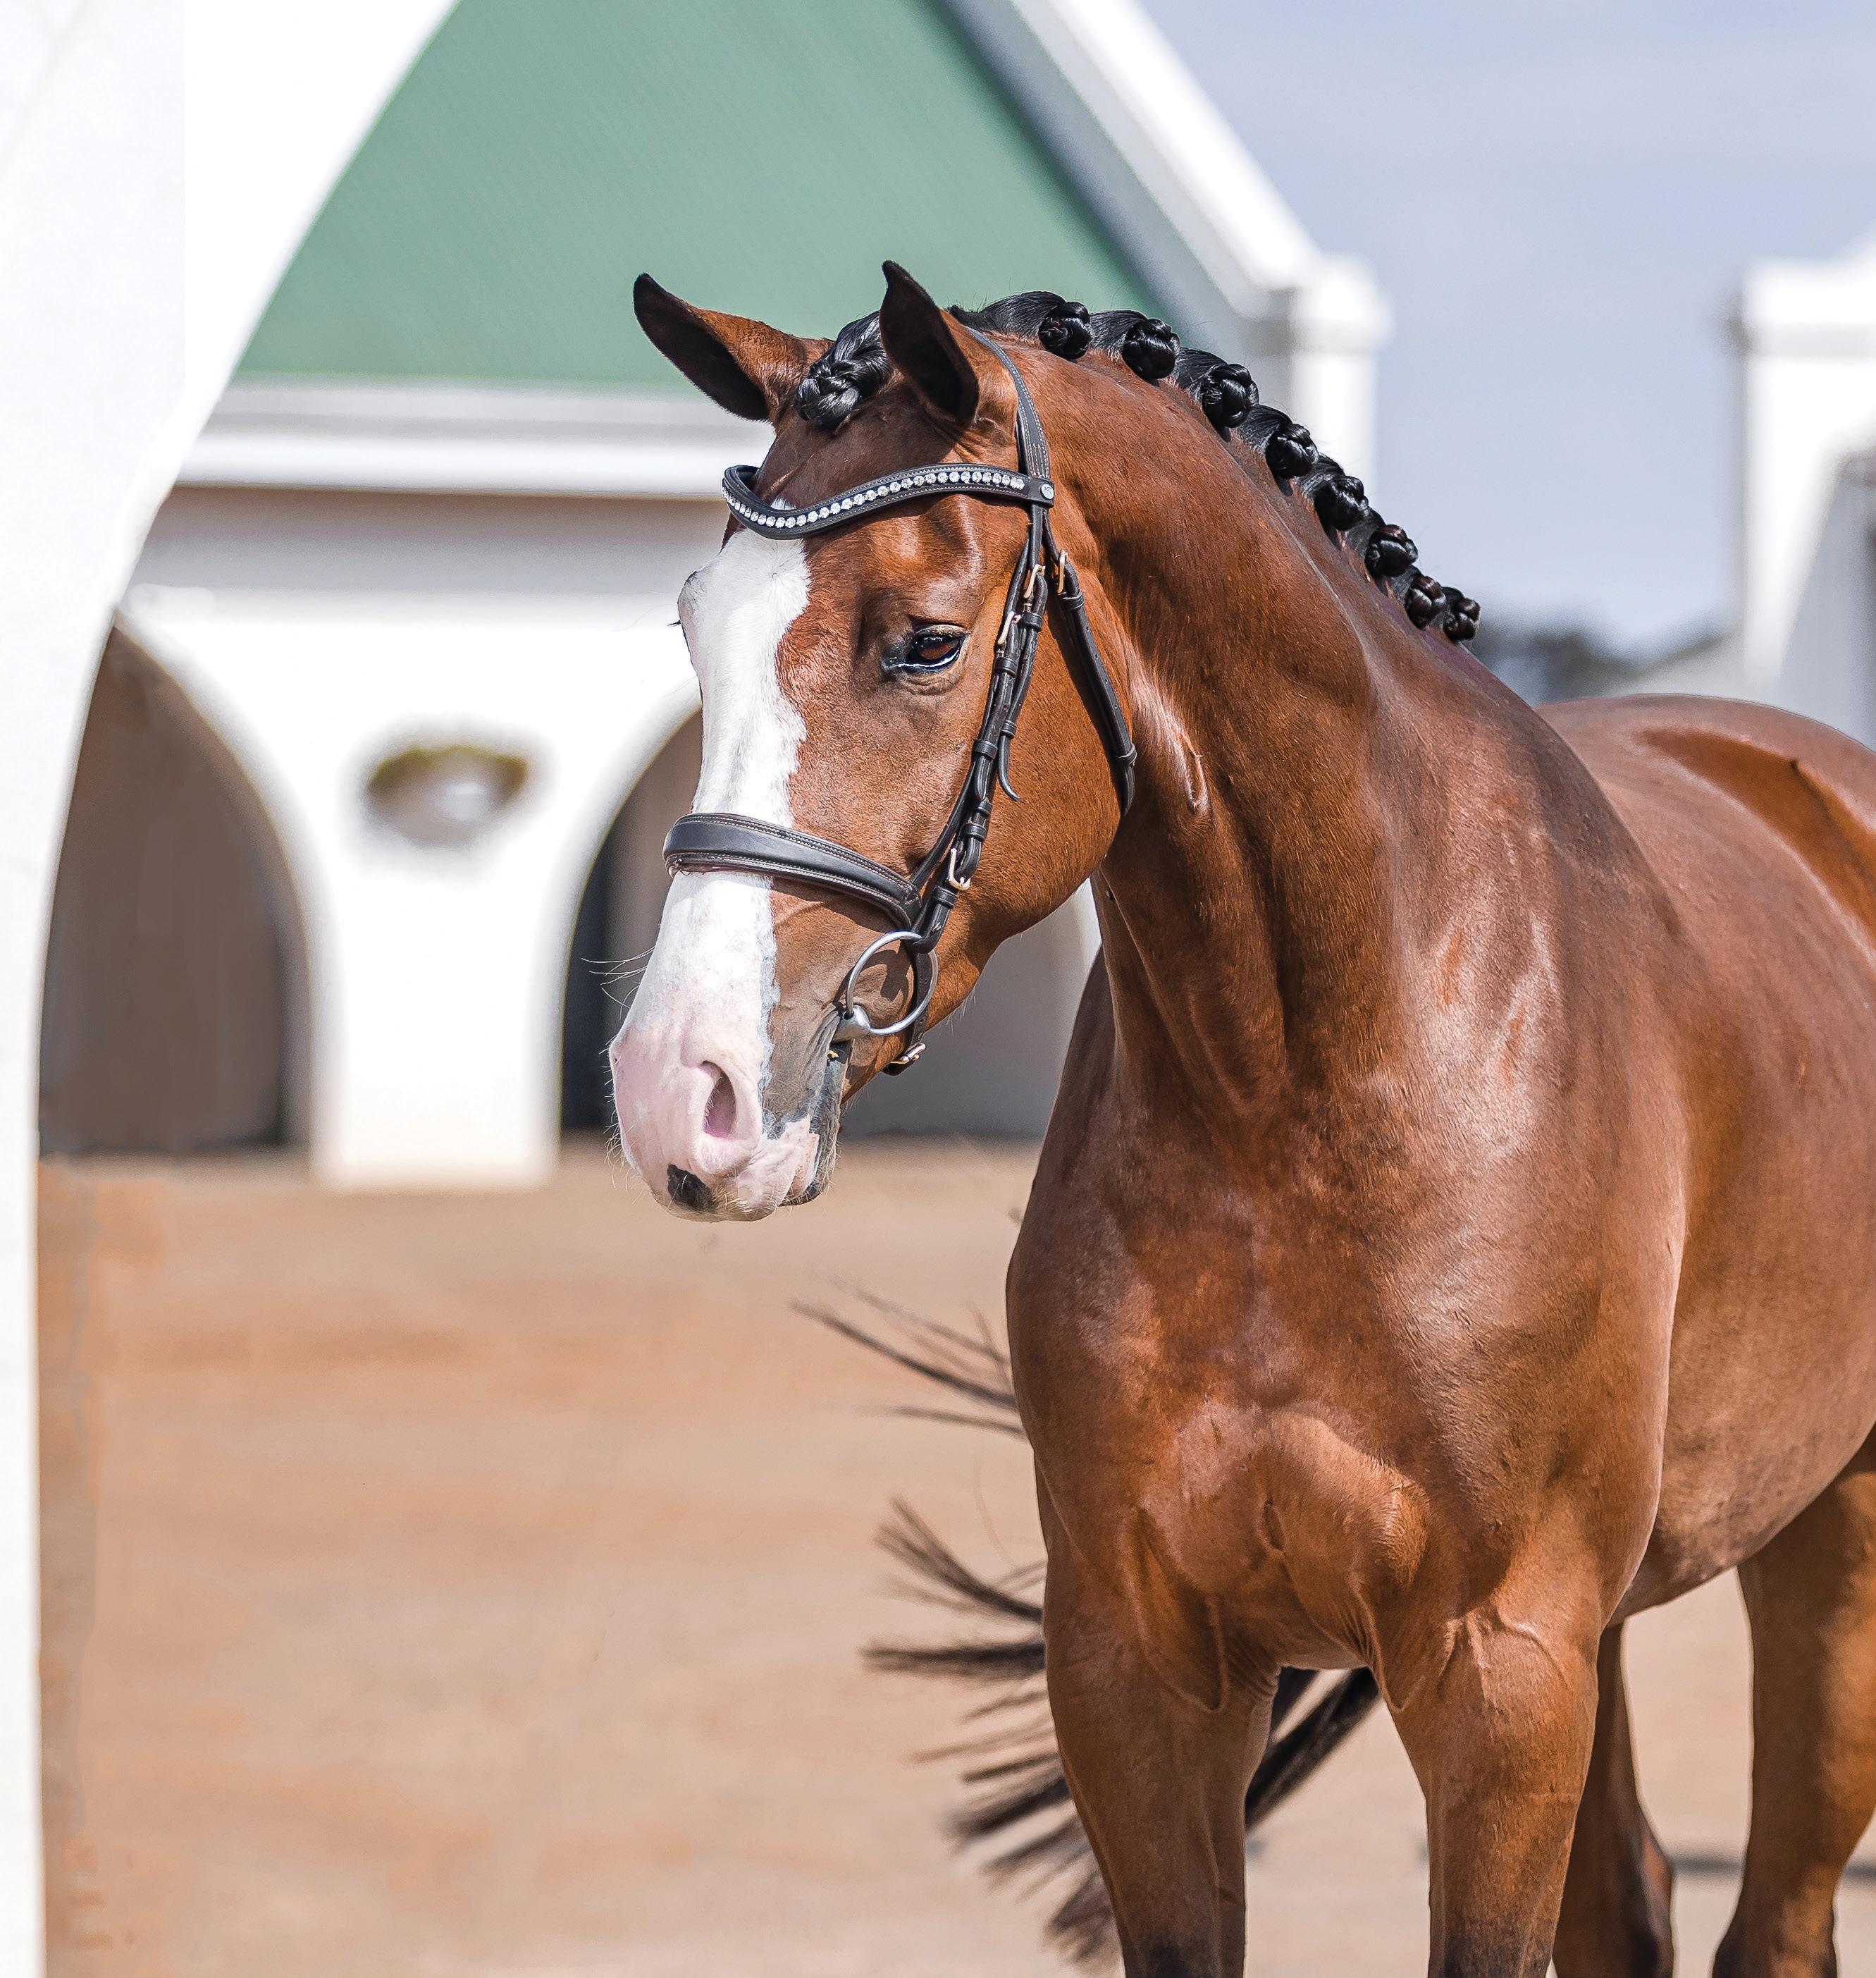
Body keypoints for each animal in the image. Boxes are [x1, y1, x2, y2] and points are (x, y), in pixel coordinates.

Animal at [610, 260, 1876, 1978]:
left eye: (923, 644)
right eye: (697, 628)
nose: (680, 1085)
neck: (1311, 1092)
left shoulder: (1498, 1667)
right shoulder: (1139, 1664)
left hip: (1827, 1556)